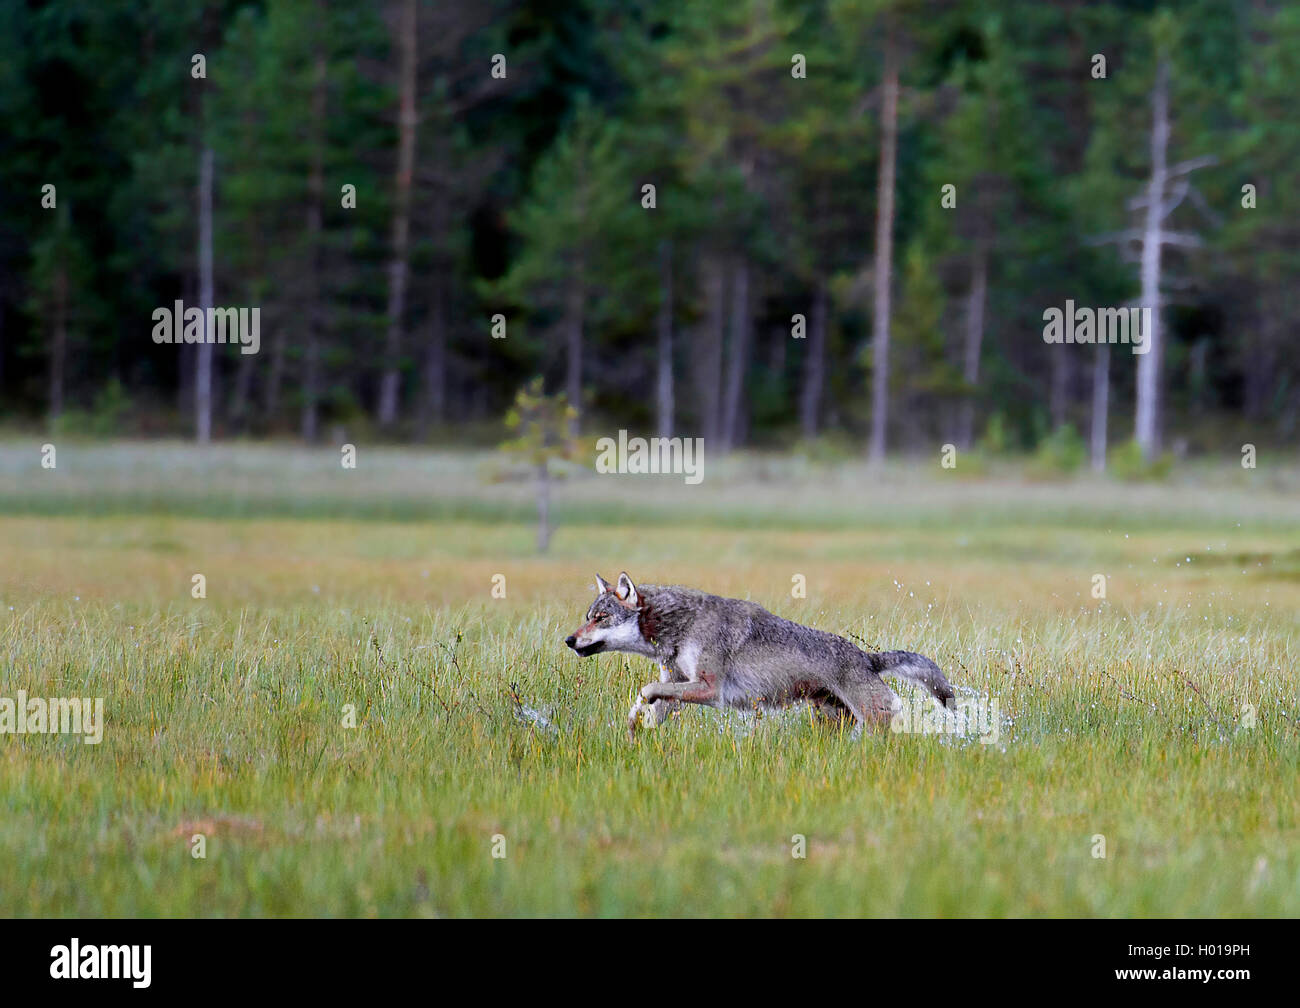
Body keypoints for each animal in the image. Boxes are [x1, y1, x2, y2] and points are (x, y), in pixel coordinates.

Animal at [564, 572, 954, 739]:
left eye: (601, 618)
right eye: (588, 617)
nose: (569, 640)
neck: (679, 626)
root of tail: (867, 657)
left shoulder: (710, 690)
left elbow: (645, 690)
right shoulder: (677, 686)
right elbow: (649, 704)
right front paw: (632, 734)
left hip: (870, 717)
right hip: (829, 717)